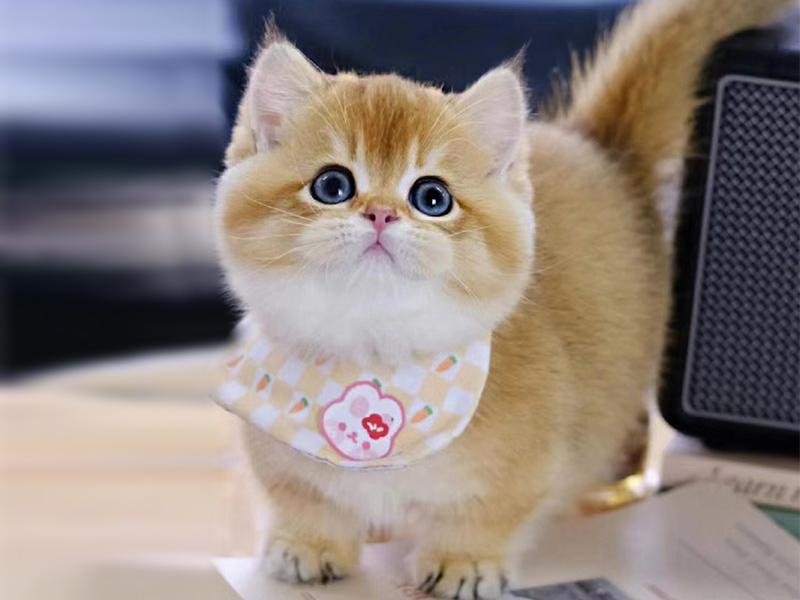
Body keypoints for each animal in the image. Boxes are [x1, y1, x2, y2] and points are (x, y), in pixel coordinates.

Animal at [214, 0, 791, 597]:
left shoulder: (522, 469)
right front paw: (308, 543)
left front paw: (461, 561)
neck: (376, 365)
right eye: (332, 186)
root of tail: (604, 152)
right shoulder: (280, 463)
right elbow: (306, 497)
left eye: (432, 197)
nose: (380, 213)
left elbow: (486, 513)